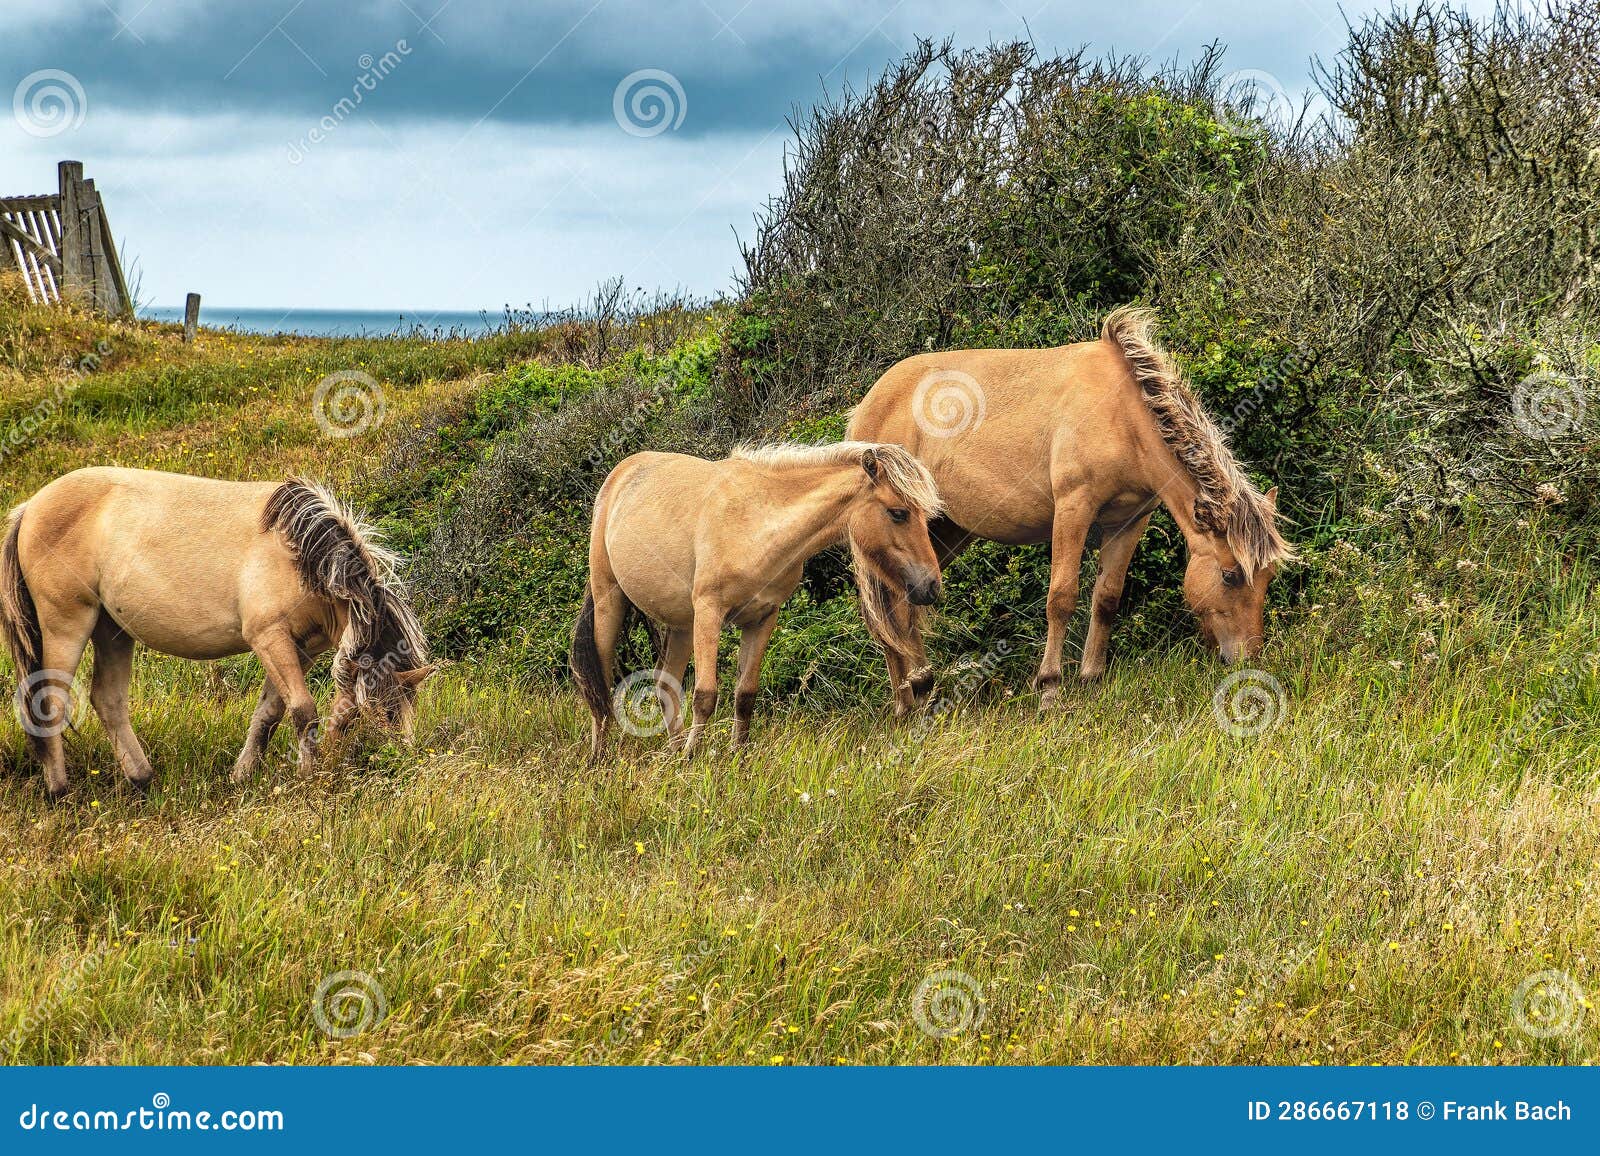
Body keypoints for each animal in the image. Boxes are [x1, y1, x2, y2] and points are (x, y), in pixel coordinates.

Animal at [1, 468, 435, 799]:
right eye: (376, 714)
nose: (399, 765)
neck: (298, 552)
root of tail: (29, 507)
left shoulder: (300, 649)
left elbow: (269, 714)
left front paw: (242, 774)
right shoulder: (269, 639)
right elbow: (302, 711)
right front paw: (308, 776)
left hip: (113, 630)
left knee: (108, 700)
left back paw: (142, 780)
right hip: (67, 625)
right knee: (50, 701)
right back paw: (59, 791)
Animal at [570, 442, 943, 757]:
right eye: (898, 513)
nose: (931, 585)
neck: (756, 523)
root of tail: (619, 476)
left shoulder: (762, 618)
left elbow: (745, 695)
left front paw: (738, 757)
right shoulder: (709, 613)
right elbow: (705, 695)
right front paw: (692, 758)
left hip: (681, 626)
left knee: (665, 684)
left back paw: (672, 754)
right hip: (609, 602)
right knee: (600, 684)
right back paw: (601, 757)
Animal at [847, 306, 1295, 715]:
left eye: (1269, 576)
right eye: (1230, 575)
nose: (1249, 659)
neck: (1121, 415)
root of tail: (868, 403)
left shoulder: (1130, 521)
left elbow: (1107, 598)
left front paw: (1091, 677)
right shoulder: (1073, 509)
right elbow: (1061, 598)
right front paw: (1050, 688)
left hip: (944, 531)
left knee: (902, 603)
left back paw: (920, 690)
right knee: (882, 609)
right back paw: (905, 700)